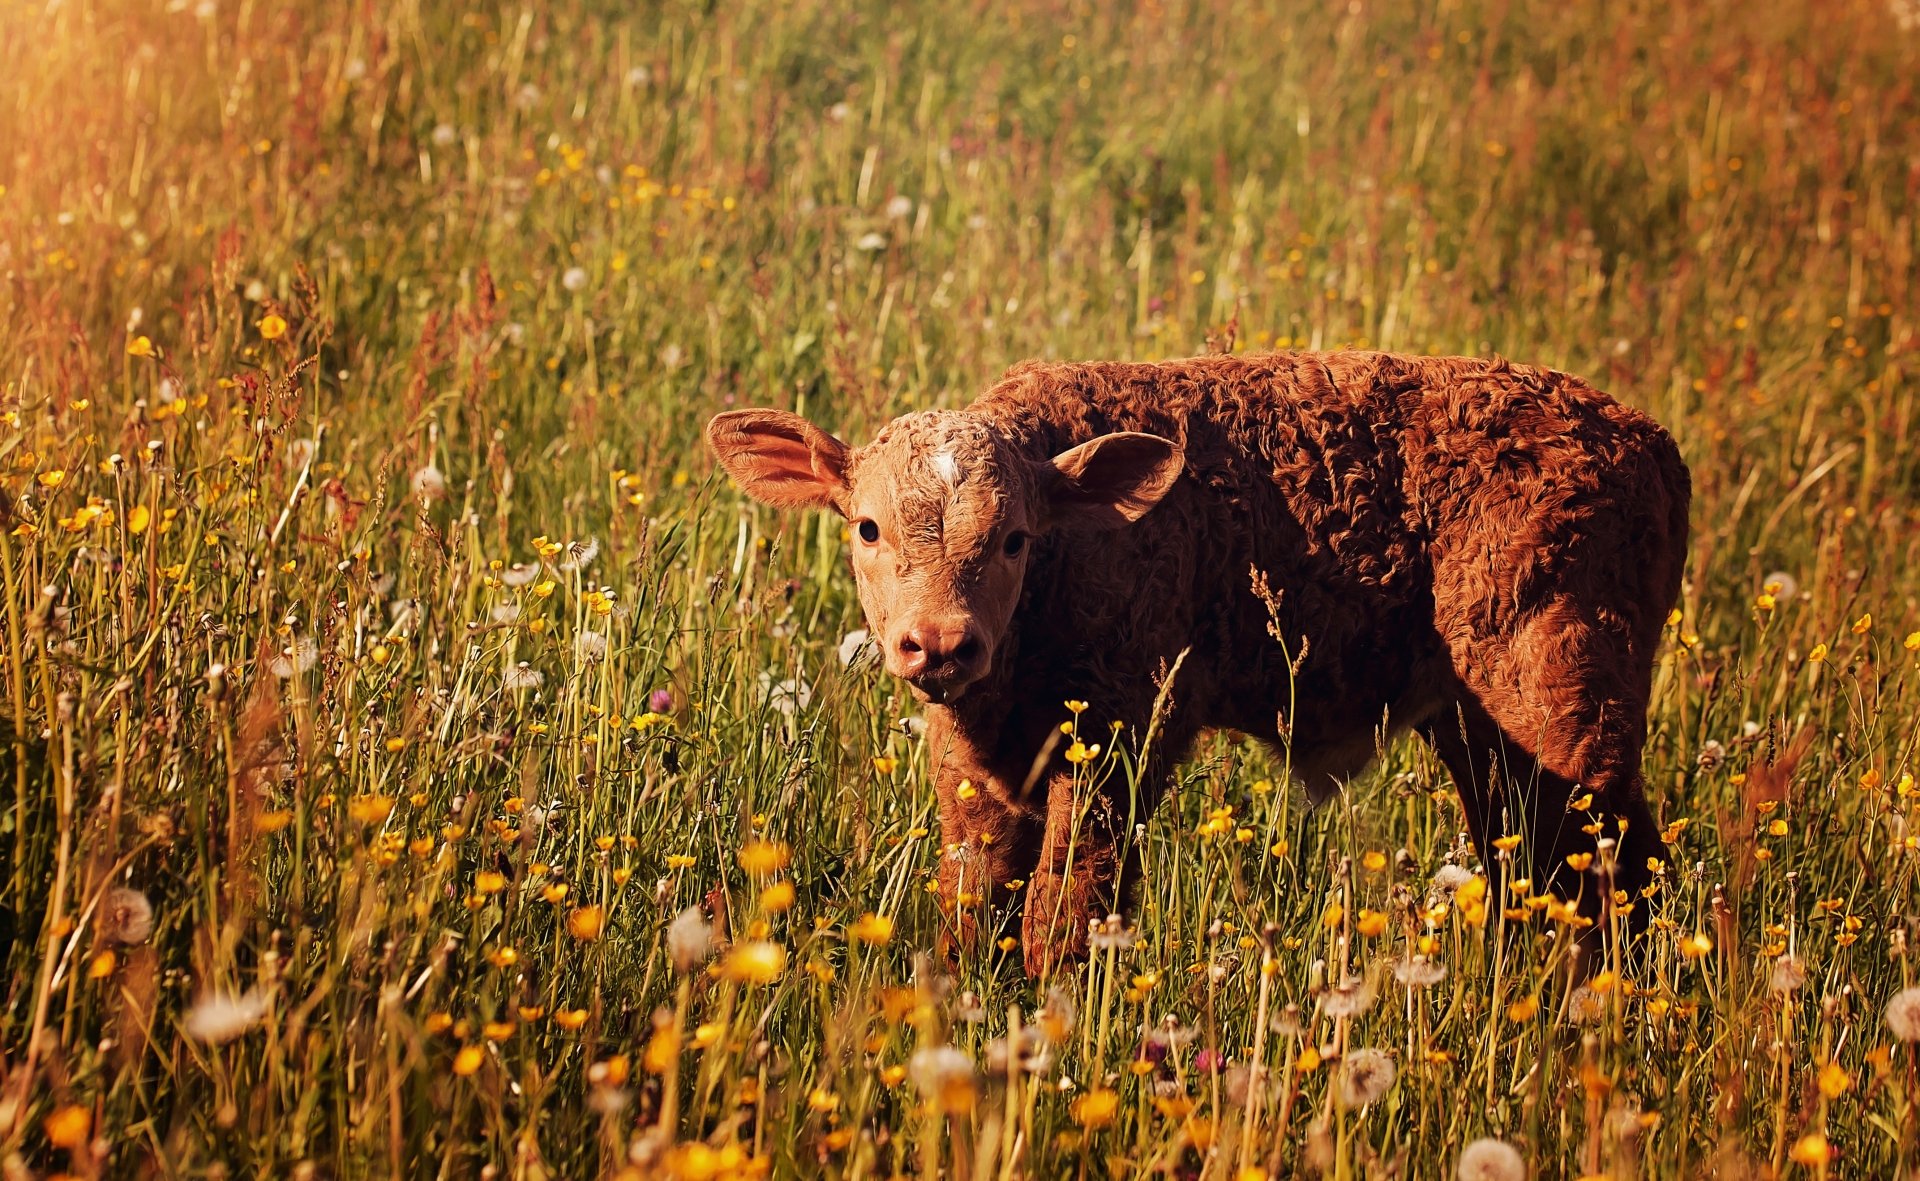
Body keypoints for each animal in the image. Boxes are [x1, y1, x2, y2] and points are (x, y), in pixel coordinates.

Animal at [707, 350, 1690, 978]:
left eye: (1016, 538)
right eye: (867, 527)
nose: (942, 642)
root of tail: (1648, 441)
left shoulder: (1119, 744)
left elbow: (1065, 915)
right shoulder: (975, 772)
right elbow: (972, 909)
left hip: (1562, 702)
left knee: (1616, 870)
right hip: (1483, 729)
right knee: (1535, 863)